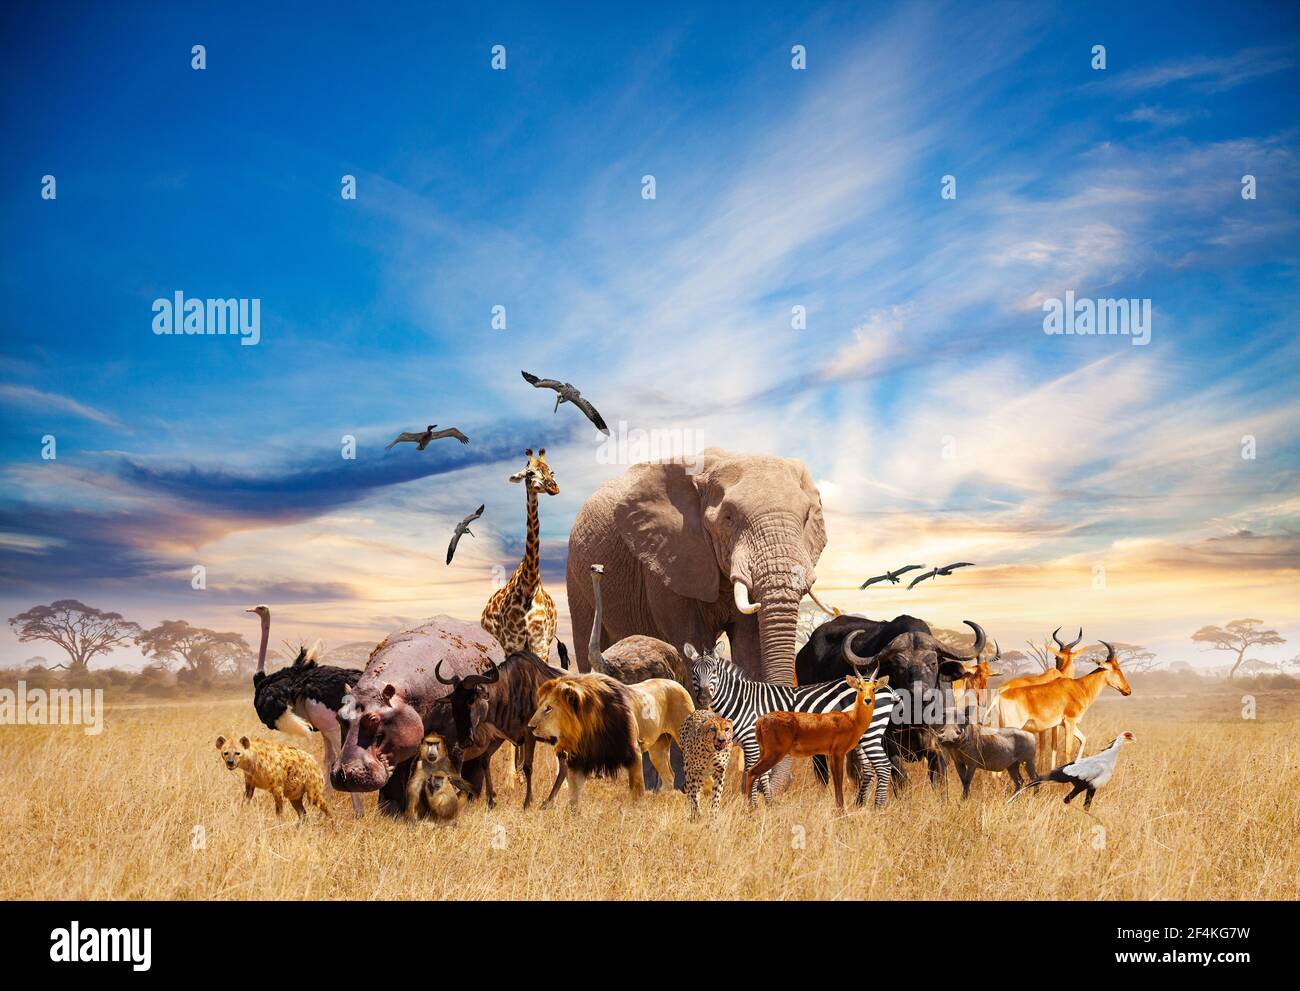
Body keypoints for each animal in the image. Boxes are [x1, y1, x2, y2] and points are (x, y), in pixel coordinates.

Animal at [481, 448, 560, 659]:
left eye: (552, 471)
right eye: (530, 473)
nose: (554, 488)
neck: (529, 587)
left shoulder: (540, 644)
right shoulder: (511, 644)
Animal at [527, 673, 644, 808]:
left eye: (549, 708)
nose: (530, 727)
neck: (590, 732)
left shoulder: (633, 754)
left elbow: (637, 789)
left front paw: (636, 808)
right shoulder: (576, 762)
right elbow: (574, 796)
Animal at [566, 448, 835, 691]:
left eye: (806, 518)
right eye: (728, 518)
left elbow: (750, 642)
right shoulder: (669, 557)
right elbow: (693, 639)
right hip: (575, 574)